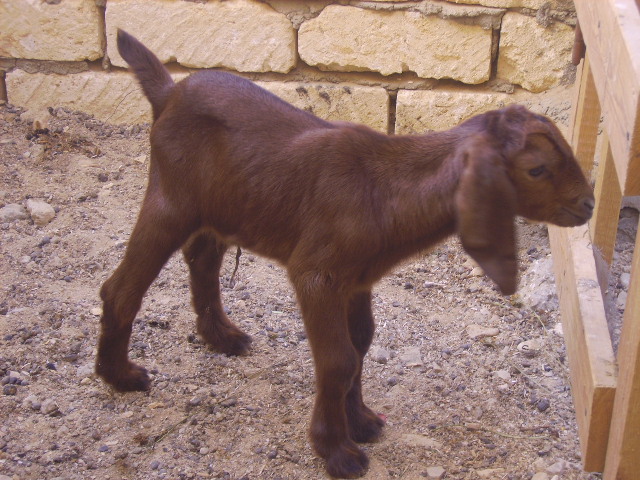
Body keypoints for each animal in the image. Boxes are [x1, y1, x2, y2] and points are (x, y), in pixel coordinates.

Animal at [97, 29, 594, 479]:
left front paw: (362, 423)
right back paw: (118, 374)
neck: (385, 189)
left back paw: (220, 336)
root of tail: (169, 93)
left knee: (203, 257)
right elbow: (338, 361)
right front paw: (337, 451)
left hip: (221, 207)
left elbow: (361, 345)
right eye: (537, 169)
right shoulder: (316, 275)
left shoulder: (358, 280)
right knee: (121, 287)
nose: (588, 204)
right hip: (172, 199)